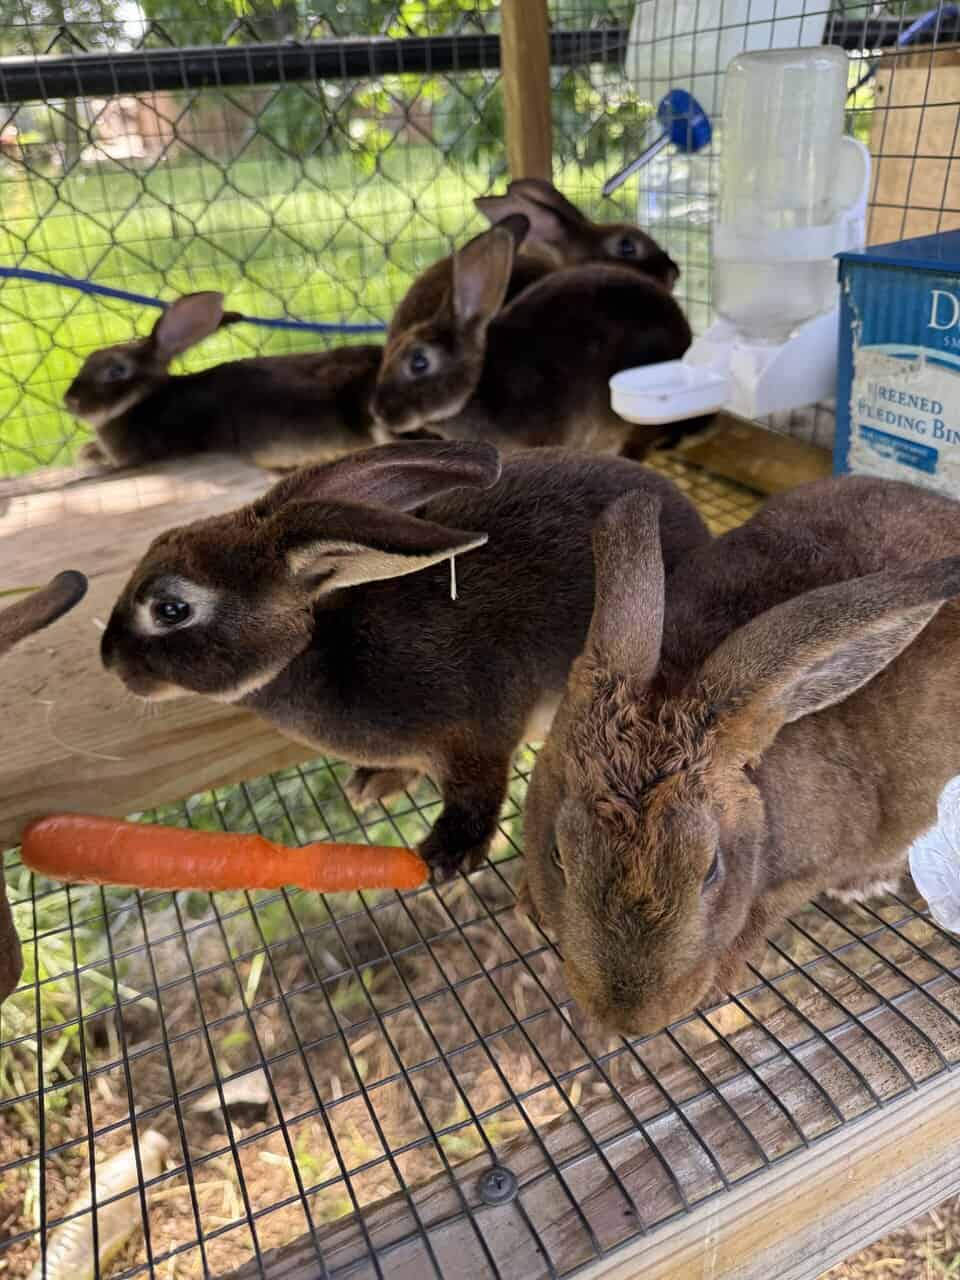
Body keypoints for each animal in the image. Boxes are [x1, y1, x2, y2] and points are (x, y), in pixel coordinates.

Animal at [100, 441, 709, 880]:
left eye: (171, 609)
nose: (110, 661)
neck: (316, 648)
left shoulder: (478, 732)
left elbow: (477, 793)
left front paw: (444, 857)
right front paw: (374, 783)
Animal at [521, 475, 960, 1038]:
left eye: (712, 869)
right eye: (557, 856)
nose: (632, 1021)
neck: (679, 676)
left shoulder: (807, 870)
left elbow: (764, 914)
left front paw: (718, 983)